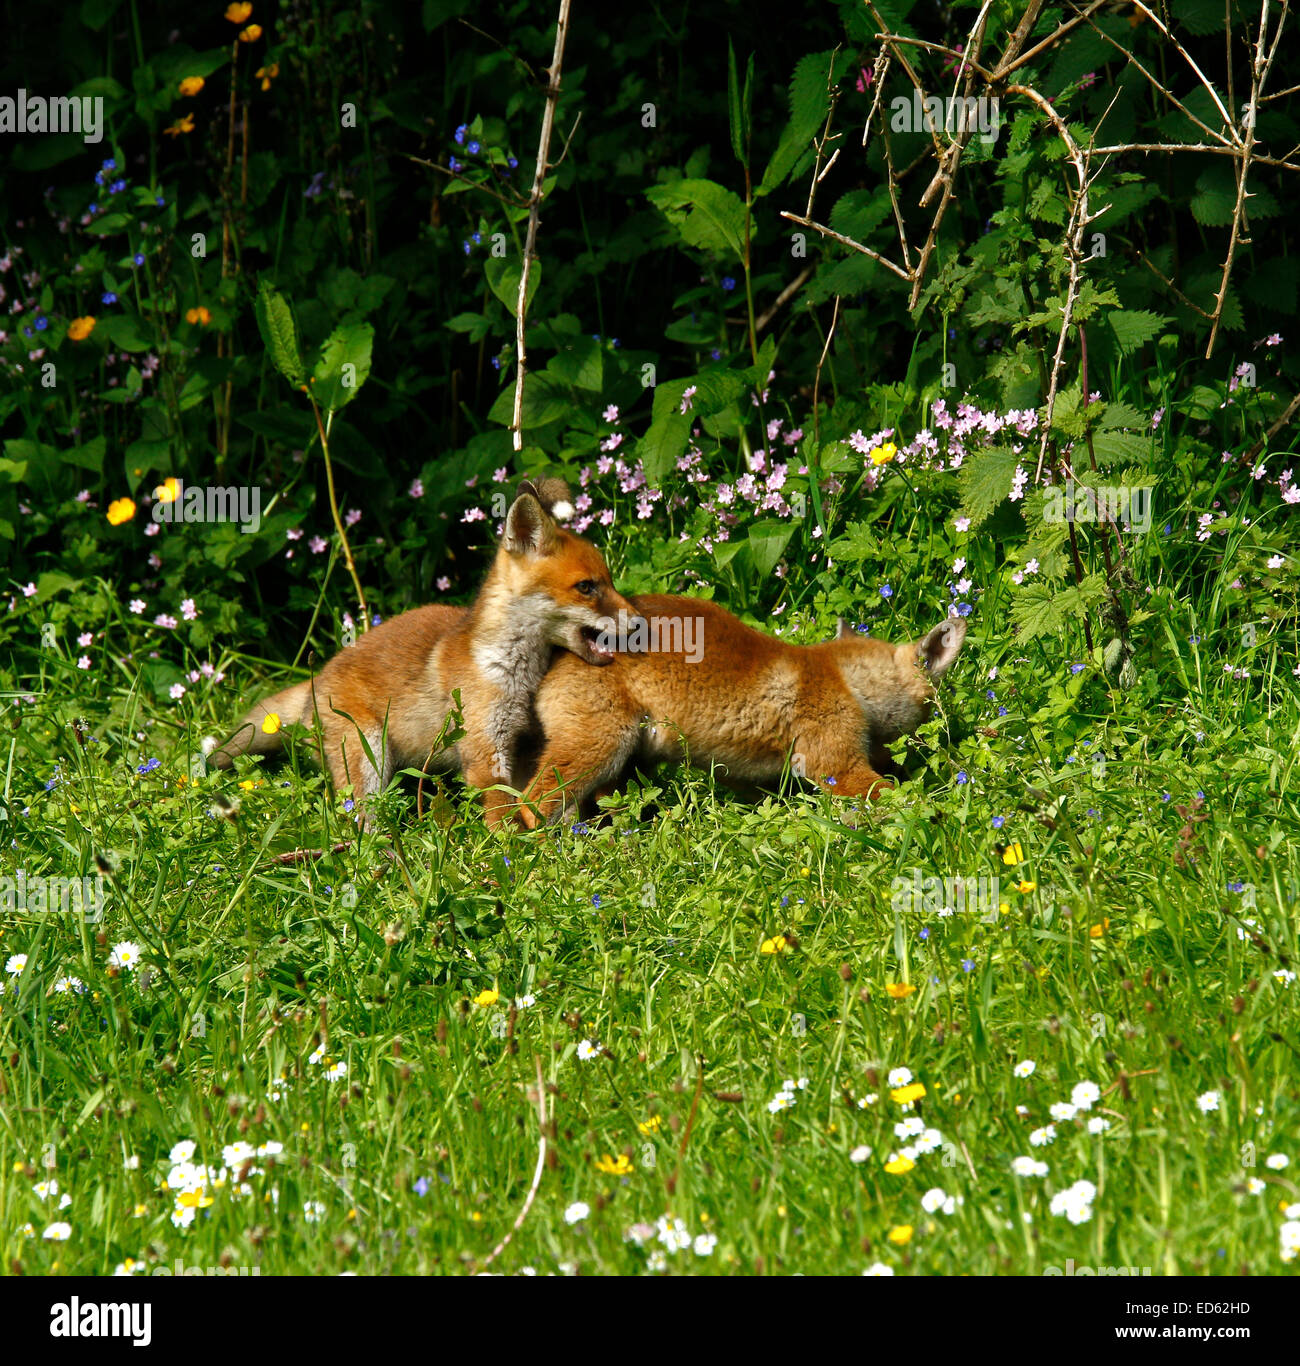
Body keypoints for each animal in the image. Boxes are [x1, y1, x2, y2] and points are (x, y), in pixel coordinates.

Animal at [209, 479, 637, 827]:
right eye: (586, 587)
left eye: (610, 581)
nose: (638, 624)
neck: (516, 674)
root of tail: (320, 674)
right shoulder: (485, 750)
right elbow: (504, 817)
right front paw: (511, 860)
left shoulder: (524, 744)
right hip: (369, 757)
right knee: (361, 818)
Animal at [514, 597, 967, 827]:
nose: (941, 734)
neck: (847, 682)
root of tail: (560, 654)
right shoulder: (836, 762)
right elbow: (895, 796)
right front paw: (937, 810)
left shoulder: (749, 776)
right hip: (599, 748)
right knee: (533, 806)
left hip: (625, 767)